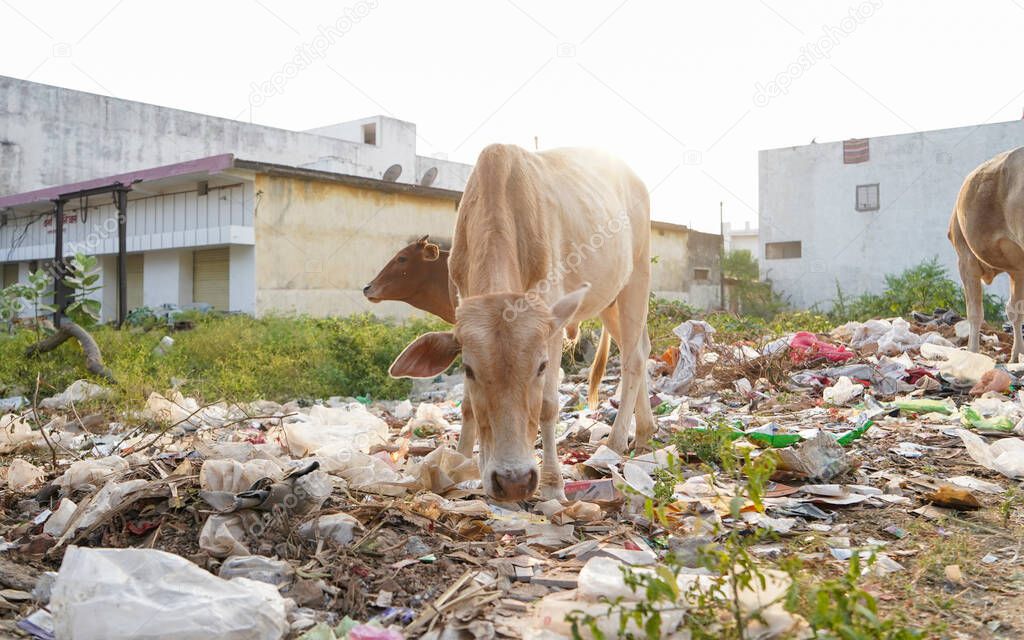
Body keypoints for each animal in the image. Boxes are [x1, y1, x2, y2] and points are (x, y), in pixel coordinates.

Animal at [388, 144, 654, 502]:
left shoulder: (552, 328)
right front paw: (459, 464)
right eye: (469, 370)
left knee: (632, 360)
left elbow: (548, 406)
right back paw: (645, 432)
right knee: (640, 348)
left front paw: (553, 485)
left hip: (637, 280)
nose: (513, 480)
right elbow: (468, 407)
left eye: (541, 367)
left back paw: (614, 442)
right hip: (609, 299)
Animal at [949, 147, 1024, 361]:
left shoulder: (965, 259)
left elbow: (974, 312)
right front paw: (1017, 355)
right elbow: (1015, 309)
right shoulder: (1018, 269)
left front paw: (972, 352)